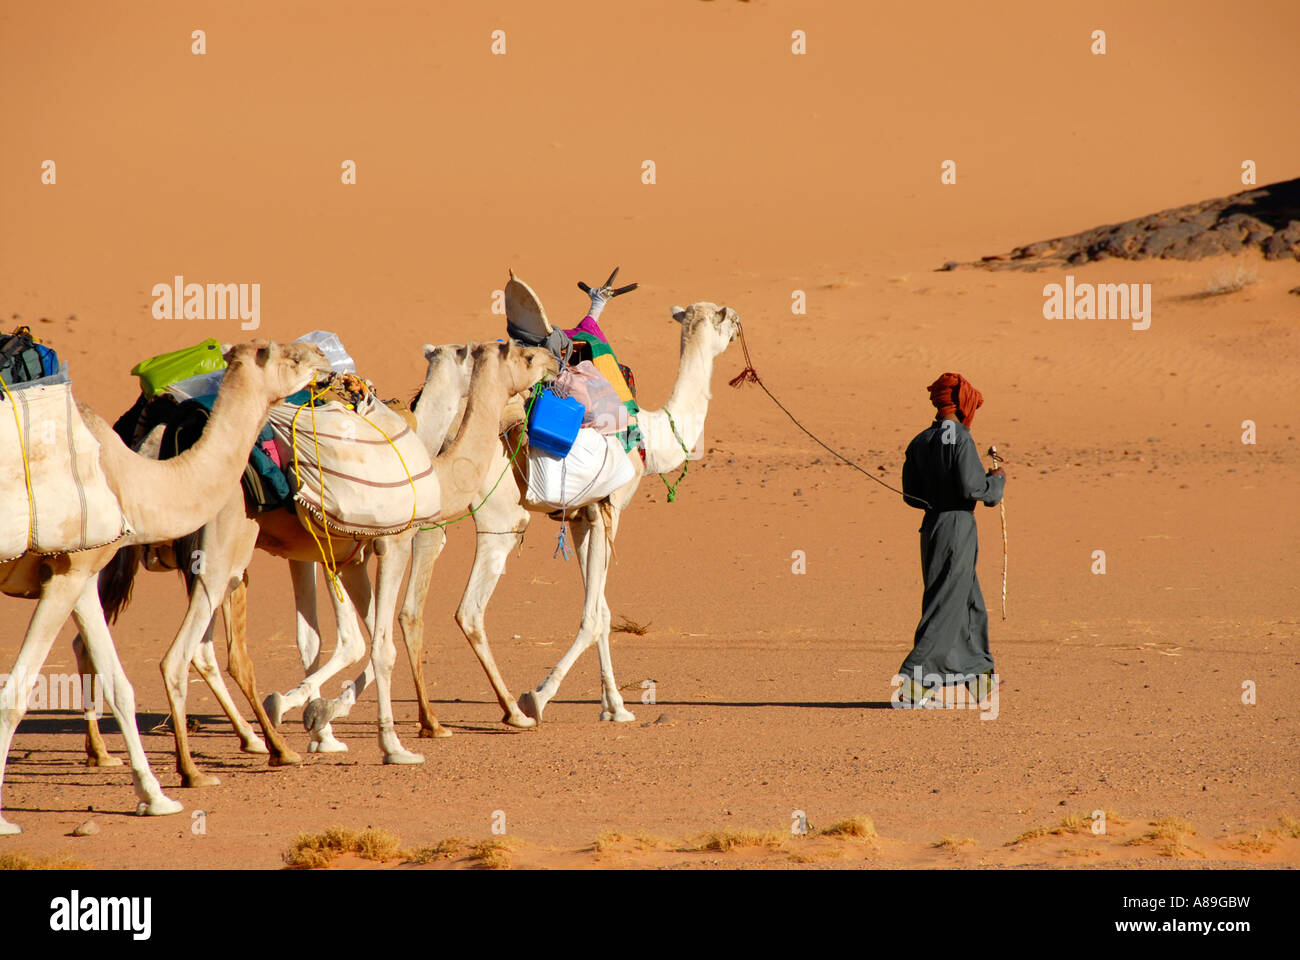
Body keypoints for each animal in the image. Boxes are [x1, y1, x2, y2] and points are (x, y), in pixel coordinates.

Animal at [0, 340, 331, 834]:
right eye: (284, 355)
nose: (322, 355)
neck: (129, 476)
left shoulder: (79, 571)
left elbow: (119, 683)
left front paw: (154, 797)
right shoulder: (69, 572)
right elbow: (16, 695)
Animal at [81, 340, 555, 784]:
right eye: (526, 356)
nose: (553, 362)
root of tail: (159, 440)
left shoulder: (345, 556)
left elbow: (350, 637)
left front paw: (322, 720)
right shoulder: (388, 543)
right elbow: (377, 642)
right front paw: (391, 744)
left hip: (126, 549)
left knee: (101, 639)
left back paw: (108, 752)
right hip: (221, 552)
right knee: (192, 654)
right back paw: (217, 762)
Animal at [307, 300, 740, 738]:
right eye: (729, 319)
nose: (739, 328)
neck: (652, 437)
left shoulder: (582, 517)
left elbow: (601, 612)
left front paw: (615, 707)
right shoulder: (611, 510)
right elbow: (592, 616)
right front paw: (541, 696)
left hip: (431, 520)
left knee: (410, 609)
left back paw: (367, 712)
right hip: (501, 519)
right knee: (469, 610)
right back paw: (512, 710)